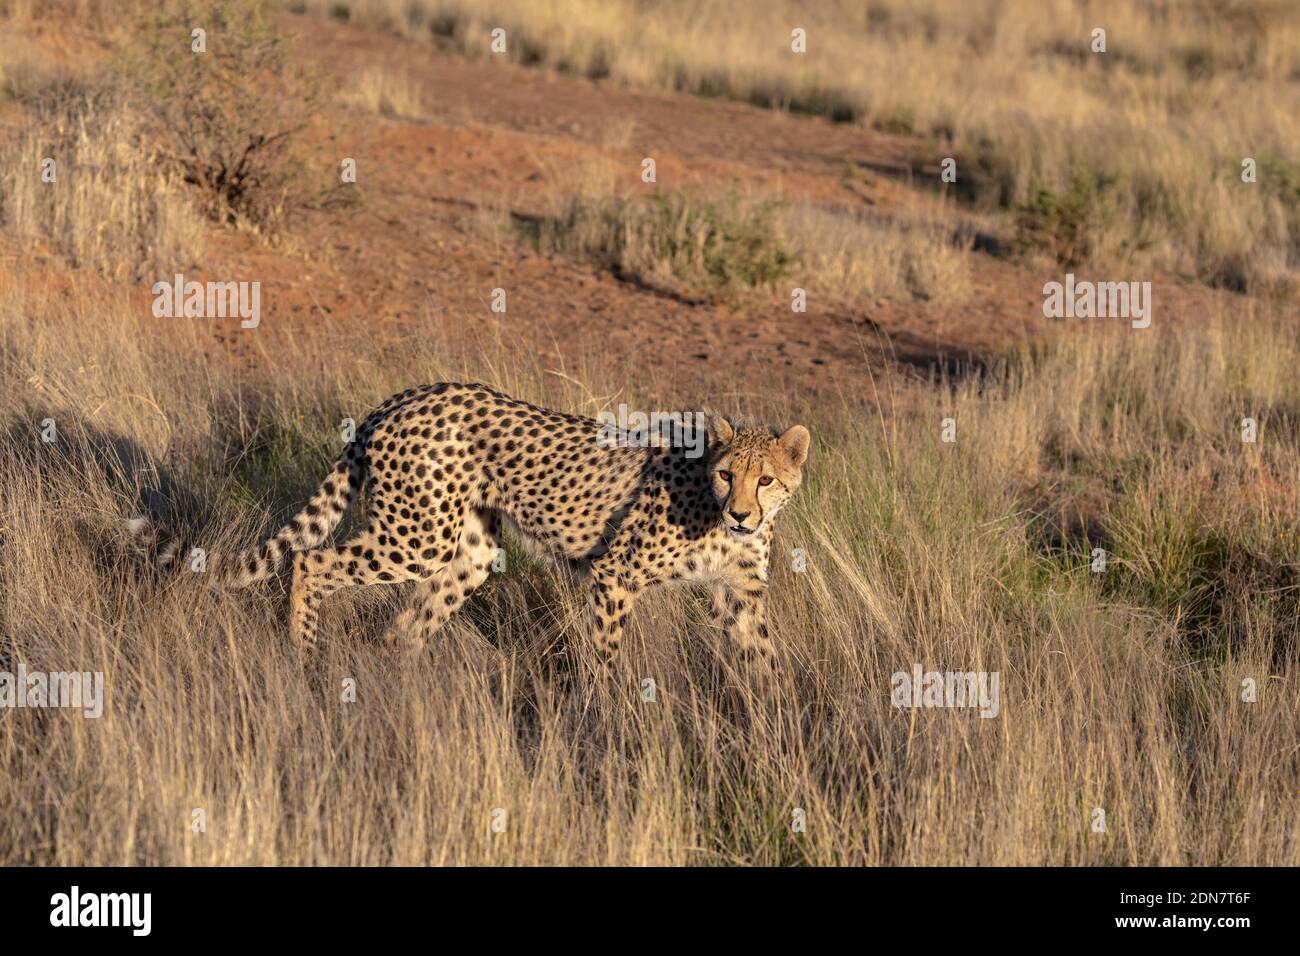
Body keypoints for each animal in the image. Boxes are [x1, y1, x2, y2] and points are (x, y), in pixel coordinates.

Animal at [129, 382, 810, 670]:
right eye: (727, 474)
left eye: (766, 480)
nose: (742, 513)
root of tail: (409, 394)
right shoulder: (616, 576)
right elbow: (607, 658)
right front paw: (607, 720)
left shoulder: (740, 596)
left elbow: (769, 658)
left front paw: (782, 732)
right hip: (416, 536)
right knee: (310, 559)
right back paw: (303, 654)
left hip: (469, 552)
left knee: (406, 624)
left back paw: (400, 684)